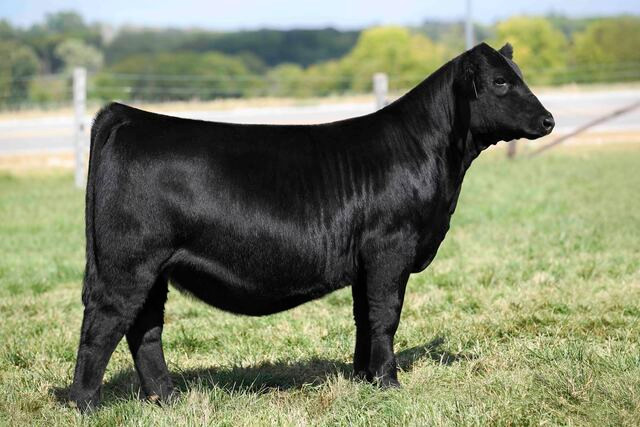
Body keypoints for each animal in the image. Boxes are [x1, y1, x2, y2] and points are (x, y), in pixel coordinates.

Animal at [69, 42, 554, 411]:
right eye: (500, 82)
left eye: (518, 75)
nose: (549, 119)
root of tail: (129, 115)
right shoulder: (390, 249)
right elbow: (385, 315)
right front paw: (390, 383)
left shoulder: (364, 262)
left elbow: (363, 317)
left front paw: (364, 378)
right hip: (127, 264)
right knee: (102, 326)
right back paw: (86, 405)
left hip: (154, 270)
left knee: (145, 330)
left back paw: (167, 400)